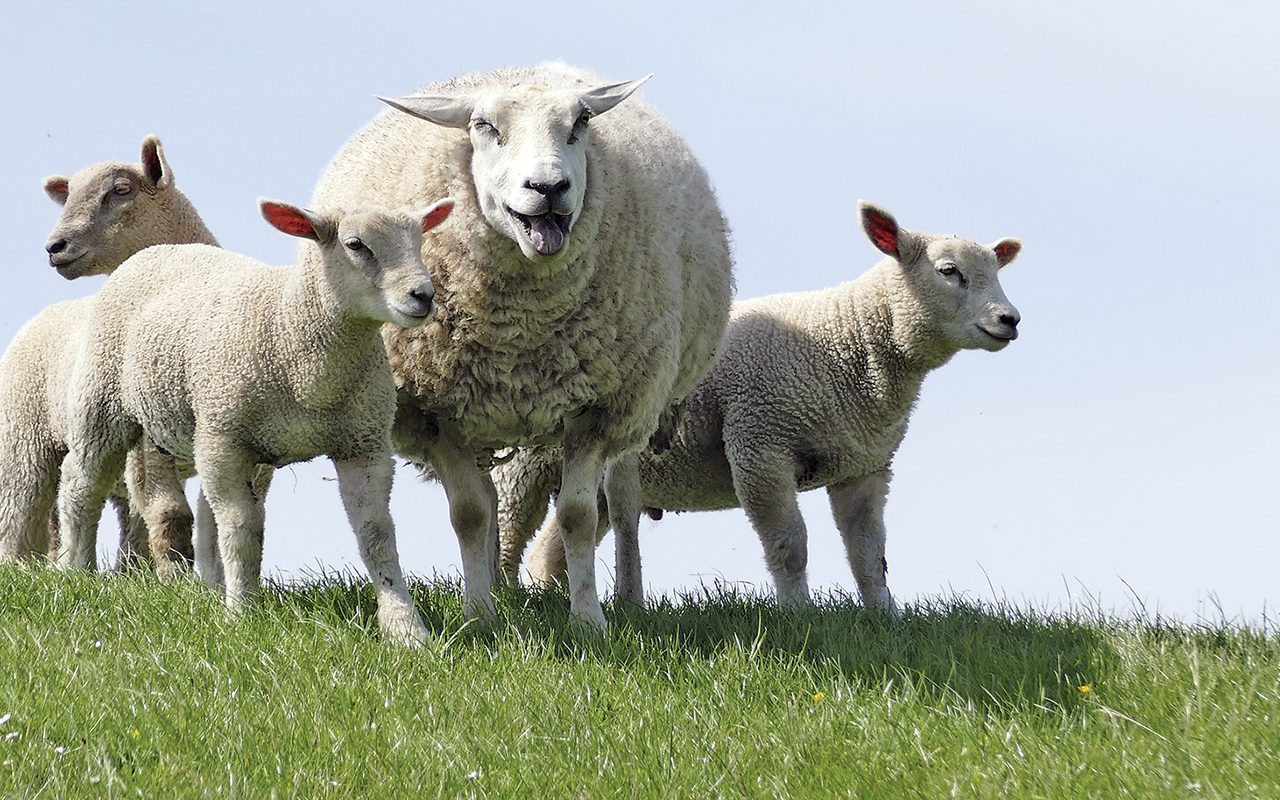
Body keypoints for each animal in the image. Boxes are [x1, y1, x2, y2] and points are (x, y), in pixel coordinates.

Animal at [0, 135, 215, 576]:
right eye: (67, 198)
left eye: (120, 190)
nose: (54, 247)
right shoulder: (146, 444)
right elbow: (169, 513)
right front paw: (175, 578)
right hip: (24, 441)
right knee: (19, 514)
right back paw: (20, 569)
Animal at [54, 197, 452, 645]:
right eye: (355, 244)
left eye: (419, 239)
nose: (423, 296)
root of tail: (157, 250)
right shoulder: (223, 439)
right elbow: (242, 529)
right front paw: (241, 614)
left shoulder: (364, 444)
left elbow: (377, 533)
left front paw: (405, 629)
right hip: (102, 400)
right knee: (81, 483)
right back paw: (74, 569)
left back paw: (210, 586)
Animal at [308, 63, 734, 630]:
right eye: (484, 126)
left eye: (580, 122)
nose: (548, 186)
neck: (521, 333)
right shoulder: (439, 414)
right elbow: (469, 514)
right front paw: (480, 616)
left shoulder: (599, 410)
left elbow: (579, 516)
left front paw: (588, 620)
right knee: (495, 501)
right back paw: (499, 587)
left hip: (638, 401)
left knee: (622, 503)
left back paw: (629, 598)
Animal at [502, 202, 1023, 611]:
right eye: (948, 271)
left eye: (997, 273)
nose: (1010, 319)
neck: (848, 341)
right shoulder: (759, 442)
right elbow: (790, 545)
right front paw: (798, 613)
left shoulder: (864, 467)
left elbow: (870, 556)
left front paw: (884, 617)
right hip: (524, 466)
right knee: (510, 530)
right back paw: (508, 595)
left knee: (552, 548)